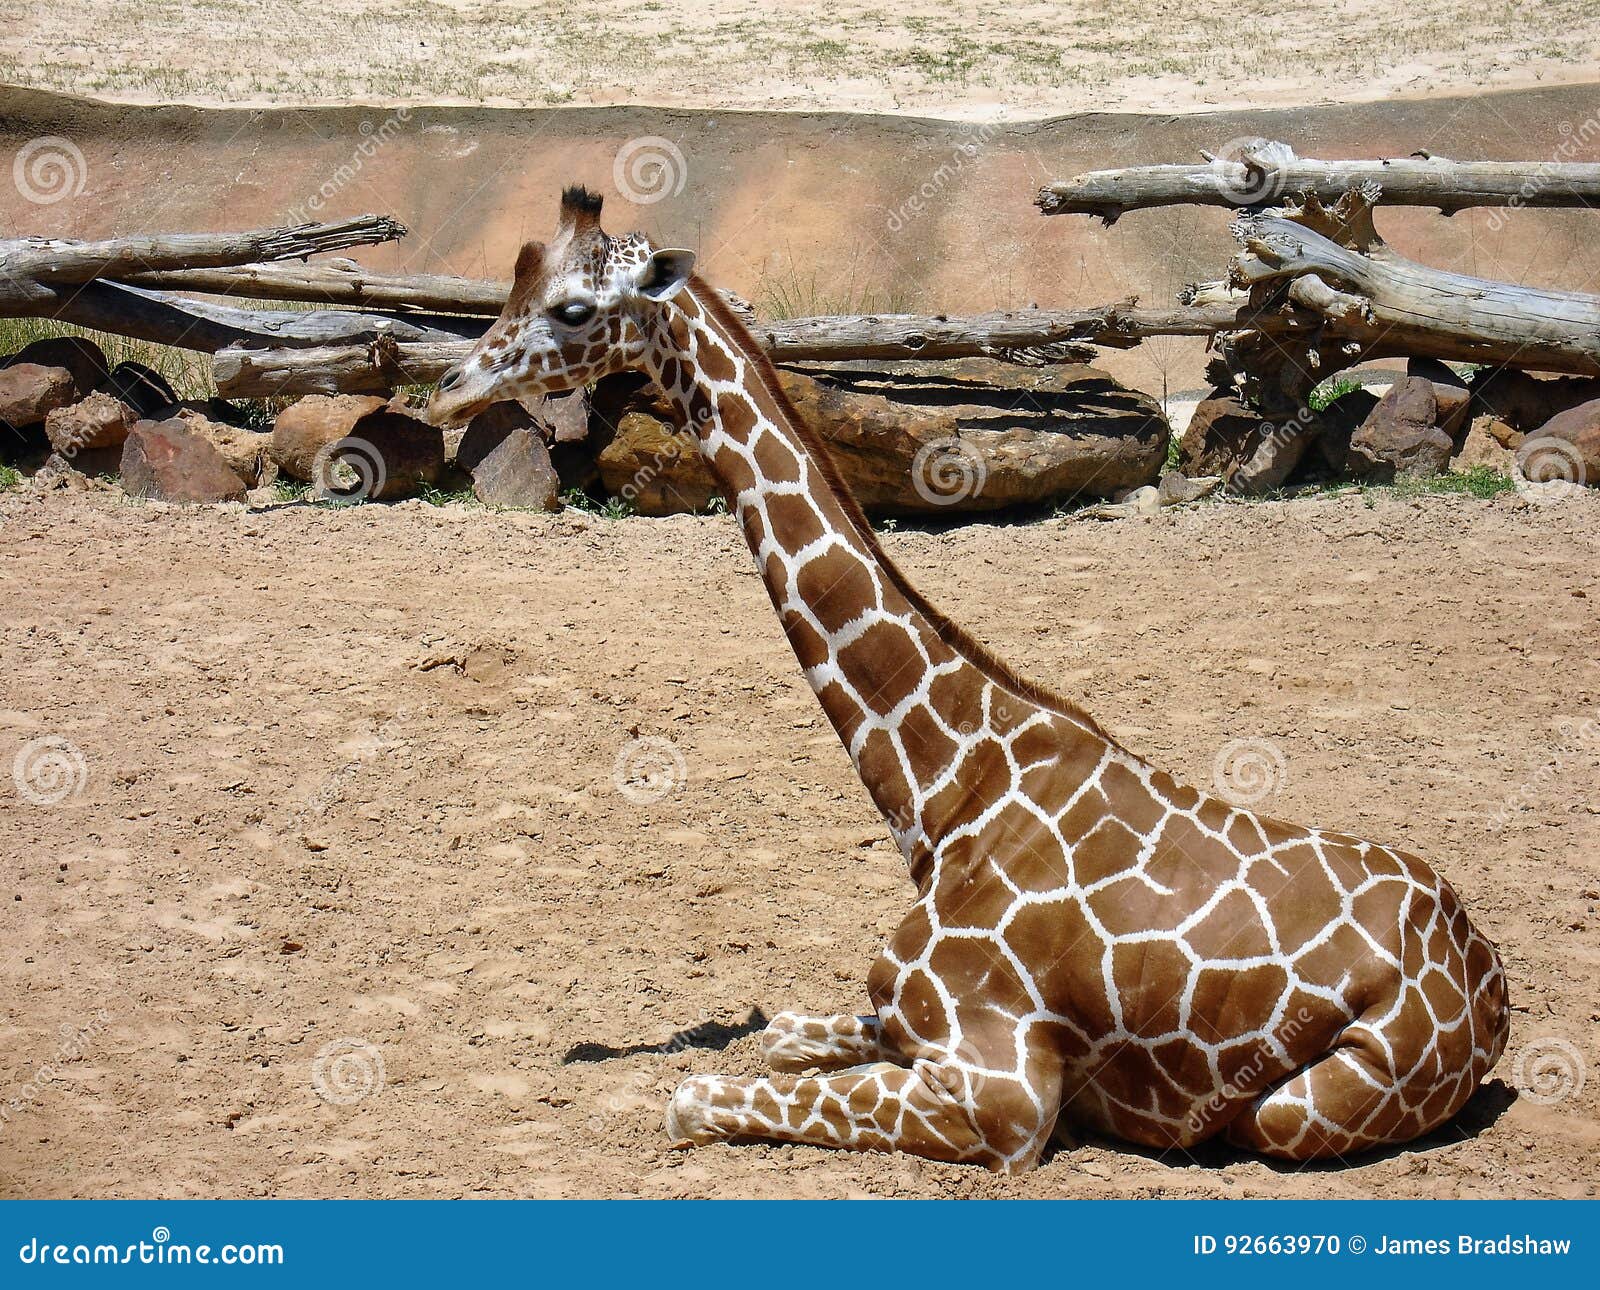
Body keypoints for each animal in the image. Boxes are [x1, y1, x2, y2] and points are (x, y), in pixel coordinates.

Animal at [428, 187, 1510, 1172]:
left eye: (573, 307)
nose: (444, 388)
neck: (945, 792)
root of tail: (1488, 982)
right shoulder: (893, 1020)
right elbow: (776, 1034)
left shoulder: (1004, 1096)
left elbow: (689, 1096)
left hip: (1295, 1110)